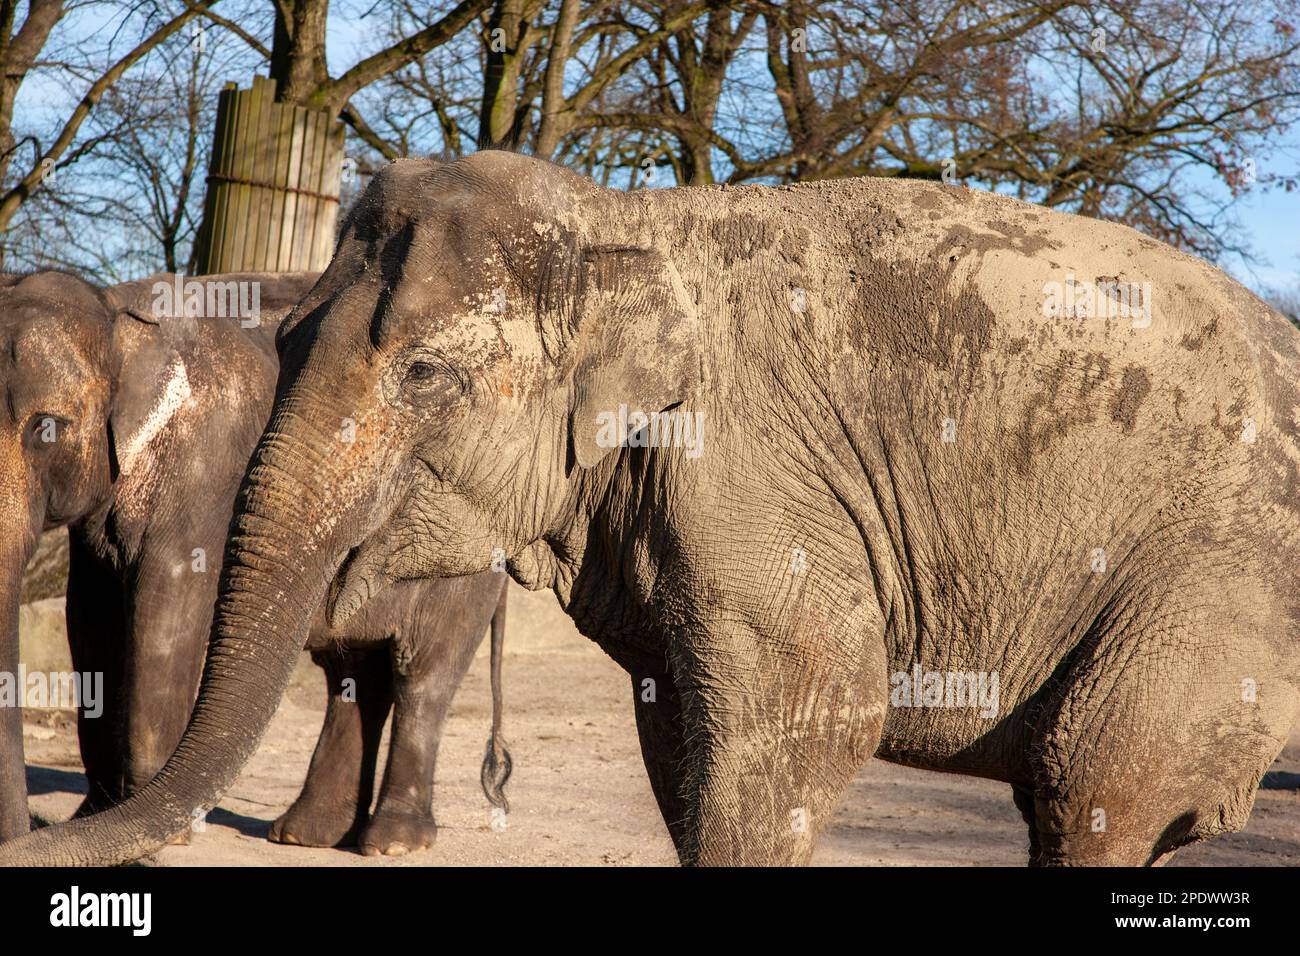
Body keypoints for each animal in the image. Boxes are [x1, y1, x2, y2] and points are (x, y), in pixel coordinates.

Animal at [0, 270, 511, 855]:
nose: (21, 835)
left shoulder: (204, 472)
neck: (116, 308)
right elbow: (90, 626)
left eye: (46, 427)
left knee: (423, 673)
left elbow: (166, 617)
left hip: (468, 541)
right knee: (351, 673)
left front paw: (168, 835)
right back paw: (305, 835)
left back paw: (392, 843)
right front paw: (94, 817)